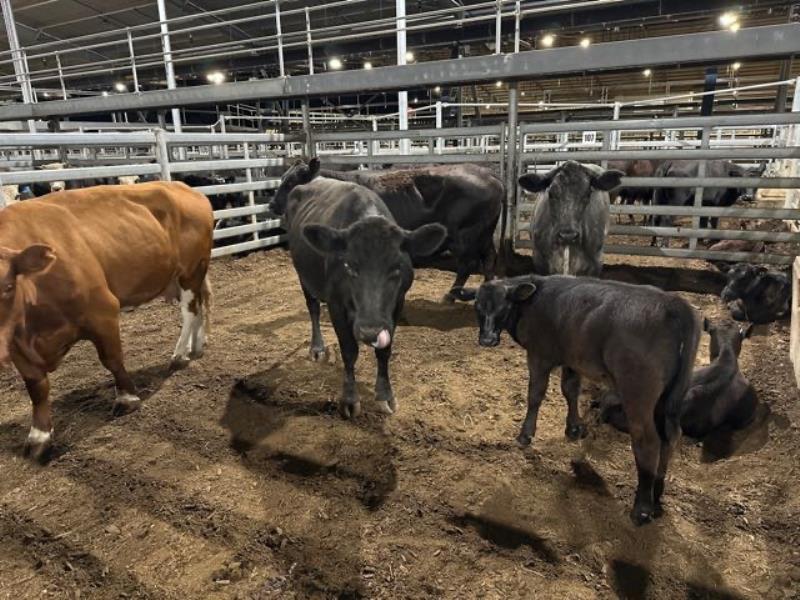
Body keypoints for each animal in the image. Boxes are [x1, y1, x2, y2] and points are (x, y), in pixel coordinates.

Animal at [0, 182, 213, 460]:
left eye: (7, 286)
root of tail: (183, 186)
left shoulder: (103, 311)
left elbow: (111, 359)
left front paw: (127, 398)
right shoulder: (15, 341)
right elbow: (36, 386)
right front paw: (39, 435)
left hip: (191, 270)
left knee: (190, 311)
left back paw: (179, 355)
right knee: (199, 307)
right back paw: (195, 347)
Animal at [270, 158, 503, 303]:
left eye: (290, 182)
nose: (271, 205)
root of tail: (489, 174)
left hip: (466, 236)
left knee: (467, 264)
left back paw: (451, 296)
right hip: (484, 235)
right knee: (490, 259)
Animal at [285, 176, 446, 418]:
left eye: (396, 268)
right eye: (349, 266)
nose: (369, 331)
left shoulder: (397, 305)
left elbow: (385, 351)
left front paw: (385, 395)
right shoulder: (336, 304)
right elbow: (349, 351)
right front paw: (350, 399)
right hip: (302, 275)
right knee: (313, 308)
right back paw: (317, 348)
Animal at [464, 275, 700, 525]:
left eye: (504, 307)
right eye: (477, 306)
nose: (487, 340)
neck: (534, 300)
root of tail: (673, 302)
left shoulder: (539, 355)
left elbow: (535, 394)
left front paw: (525, 434)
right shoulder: (572, 358)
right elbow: (570, 390)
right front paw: (574, 428)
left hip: (638, 392)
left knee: (648, 441)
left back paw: (642, 508)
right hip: (669, 396)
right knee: (670, 437)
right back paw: (657, 497)